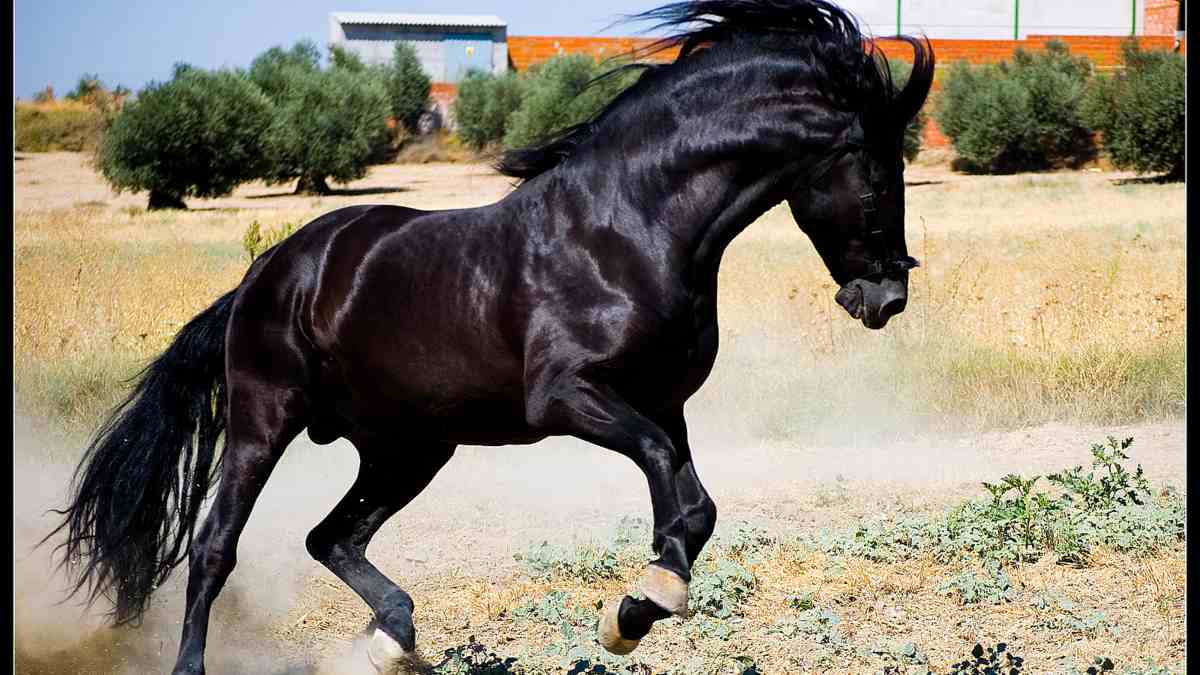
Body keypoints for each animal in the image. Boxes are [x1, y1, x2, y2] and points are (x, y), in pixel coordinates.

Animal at [47, 1, 933, 672]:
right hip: (266, 420)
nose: (887, 297)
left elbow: (693, 508)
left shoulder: (662, 402)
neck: (631, 227)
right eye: (879, 171)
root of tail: (267, 273)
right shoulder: (569, 398)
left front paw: (632, 612)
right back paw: (208, 659)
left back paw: (396, 639)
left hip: (409, 447)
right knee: (214, 548)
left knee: (329, 535)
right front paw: (649, 599)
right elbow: (668, 485)